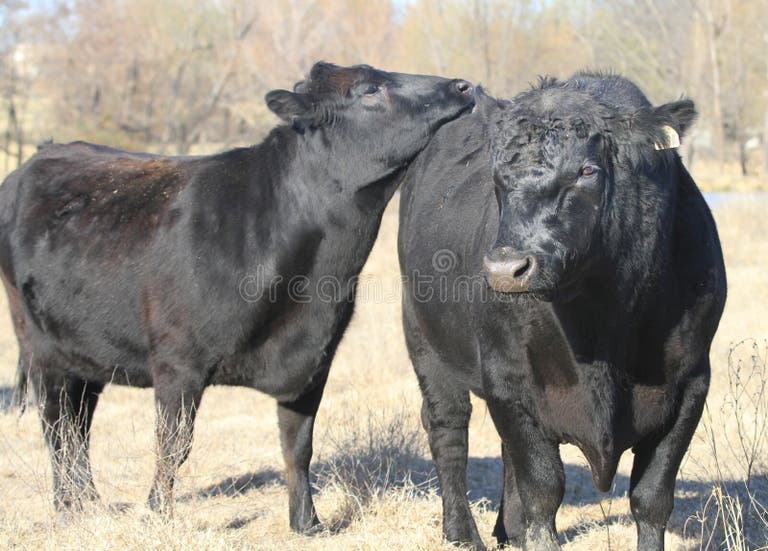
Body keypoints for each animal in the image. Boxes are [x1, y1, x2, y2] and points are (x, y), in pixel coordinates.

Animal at [0, 62, 473, 530]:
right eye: (369, 89)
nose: (462, 85)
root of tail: (41, 155)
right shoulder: (177, 361)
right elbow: (173, 444)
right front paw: (157, 516)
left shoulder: (313, 360)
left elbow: (297, 445)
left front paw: (307, 523)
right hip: (40, 347)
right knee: (56, 426)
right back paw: (67, 510)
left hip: (87, 354)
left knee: (79, 424)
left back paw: (88, 502)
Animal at [398, 73, 726, 551]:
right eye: (496, 175)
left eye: (586, 170)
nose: (505, 269)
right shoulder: (507, 378)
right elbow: (542, 490)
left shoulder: (690, 383)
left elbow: (651, 498)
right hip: (424, 340)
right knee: (448, 429)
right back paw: (462, 533)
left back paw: (506, 531)